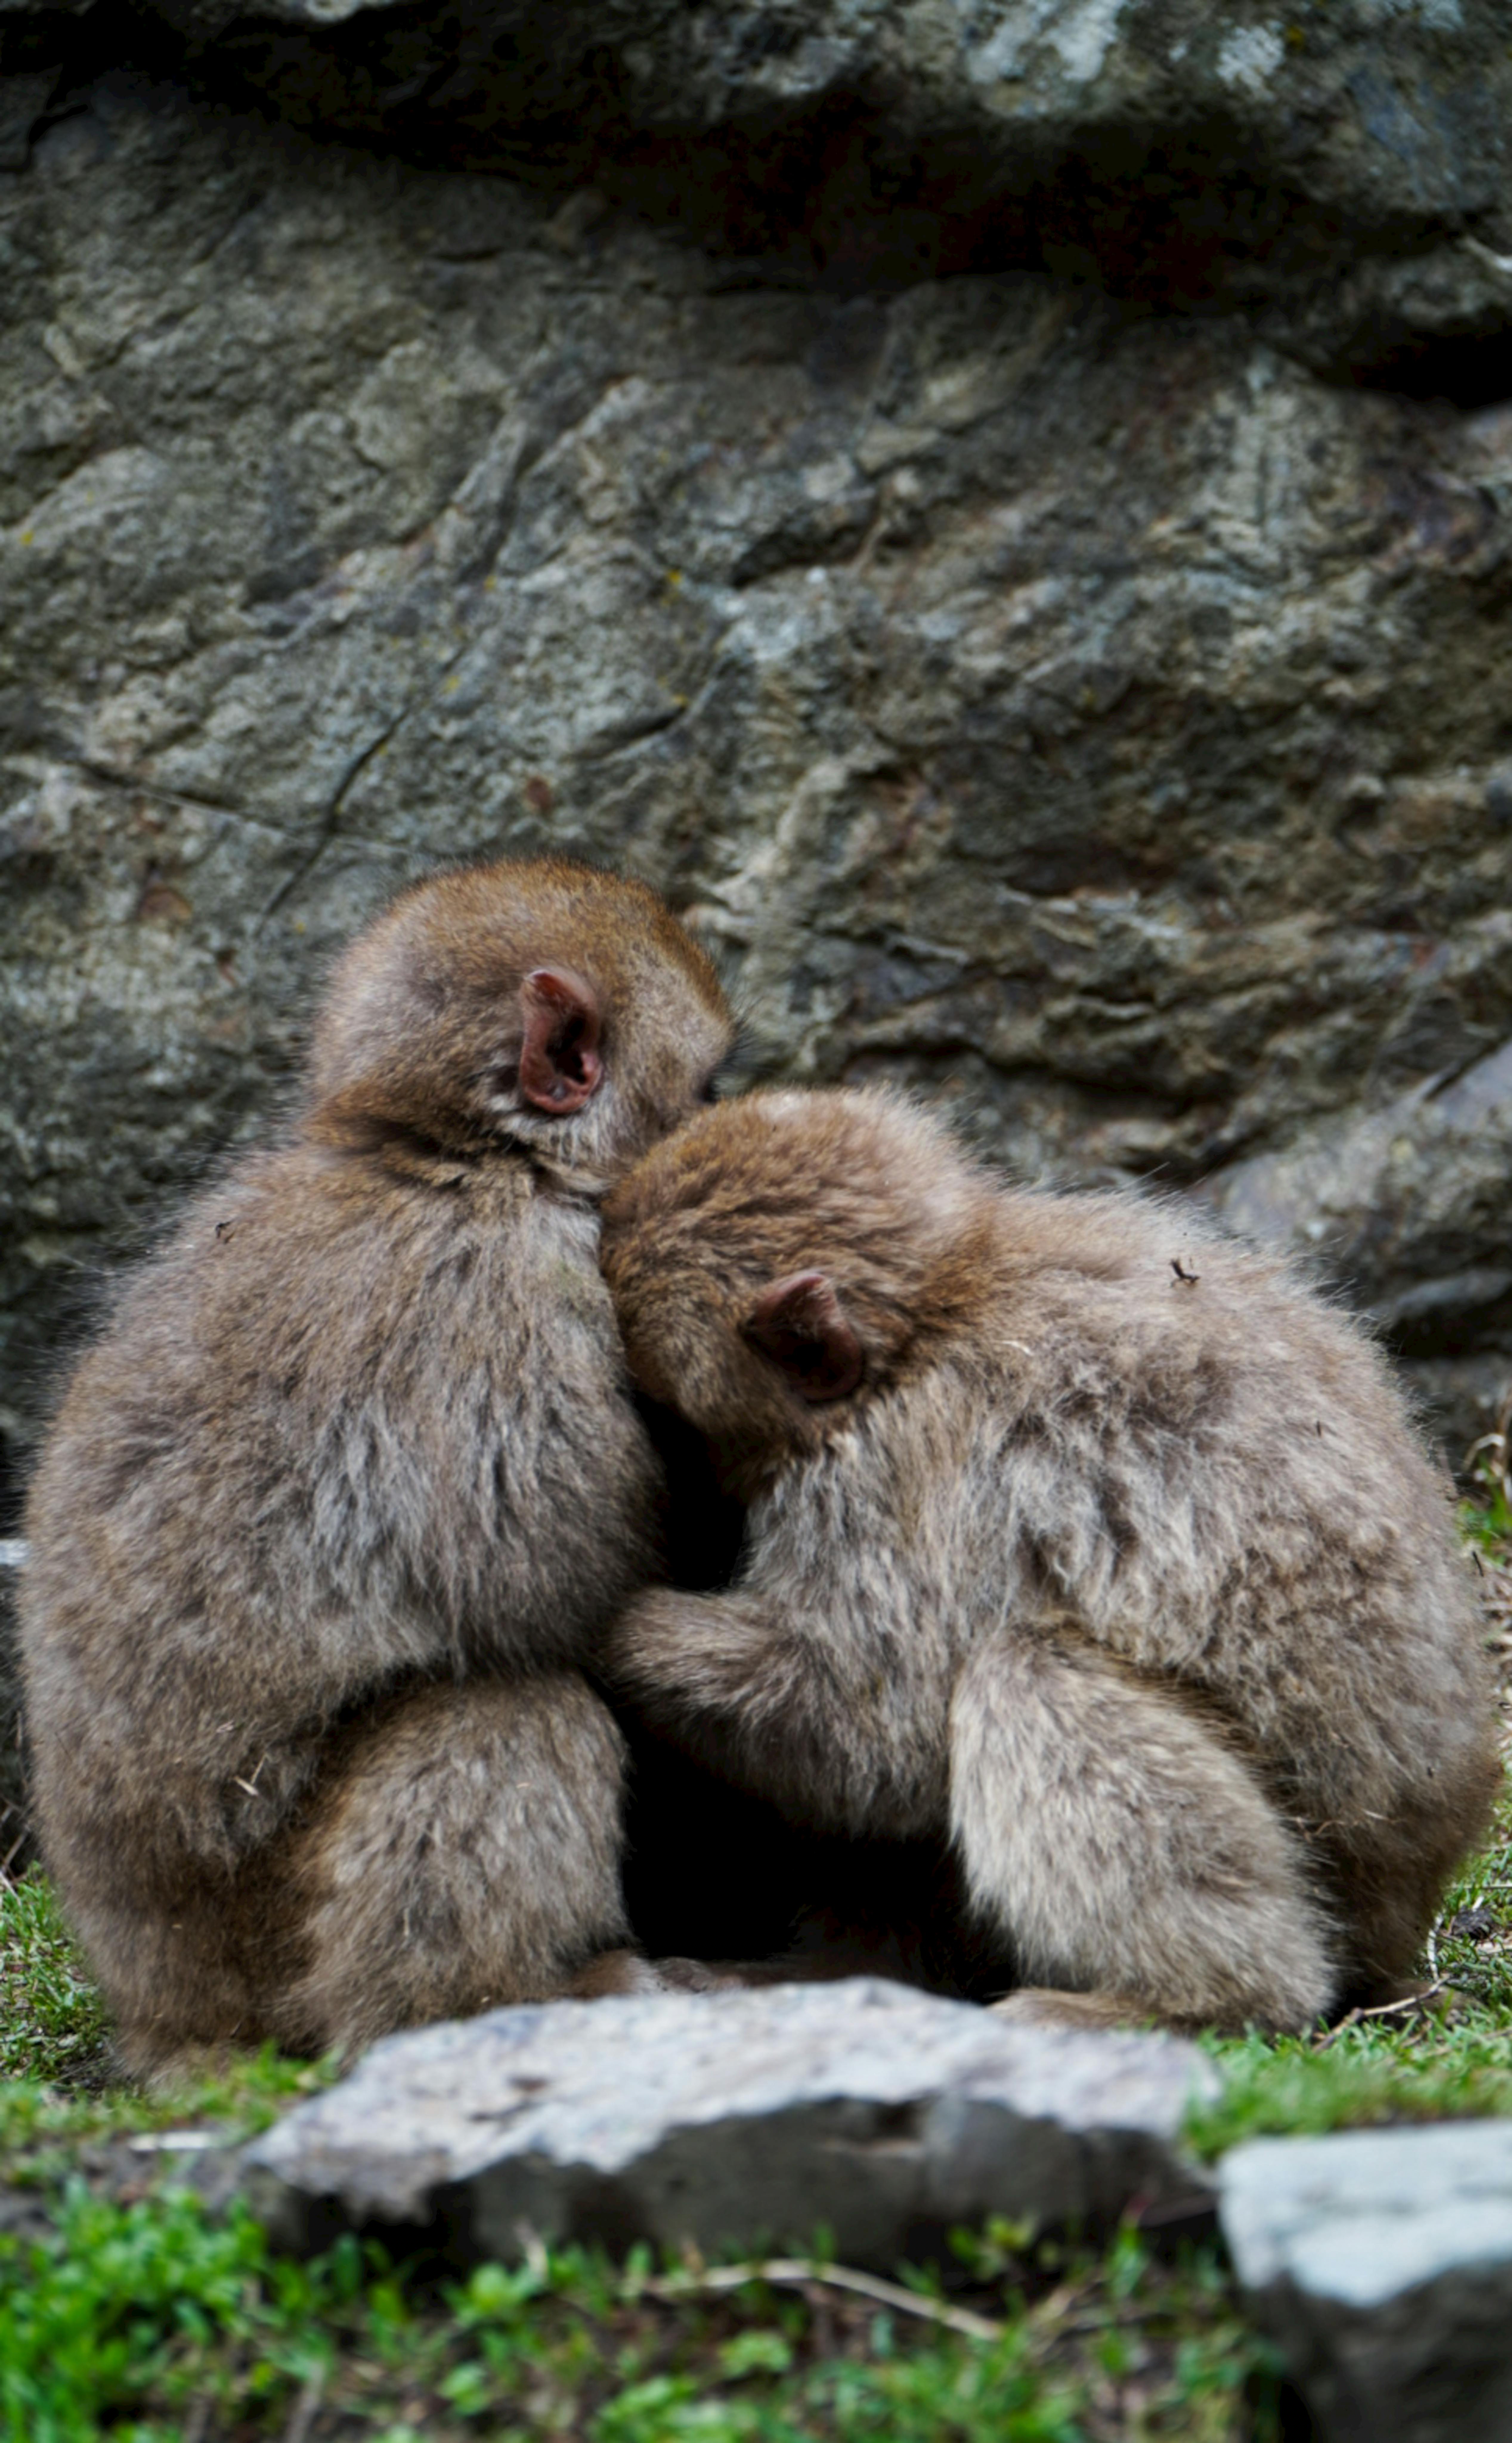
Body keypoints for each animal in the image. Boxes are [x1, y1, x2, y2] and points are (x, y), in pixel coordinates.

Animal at [19, 857, 733, 2078]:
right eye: (707, 1088)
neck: (453, 1151)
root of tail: (167, 2018)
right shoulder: (502, 1292)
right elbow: (553, 1573)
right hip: (266, 1951)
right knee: (500, 1712)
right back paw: (494, 2002)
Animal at [597, 1086, 1501, 2035]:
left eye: (675, 1415)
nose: (702, 1493)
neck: (940, 1303)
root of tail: (1407, 1914)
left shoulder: (903, 1470)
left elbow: (870, 1725)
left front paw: (614, 1628)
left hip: (1332, 1871)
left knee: (1026, 1674)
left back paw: (1198, 1999)